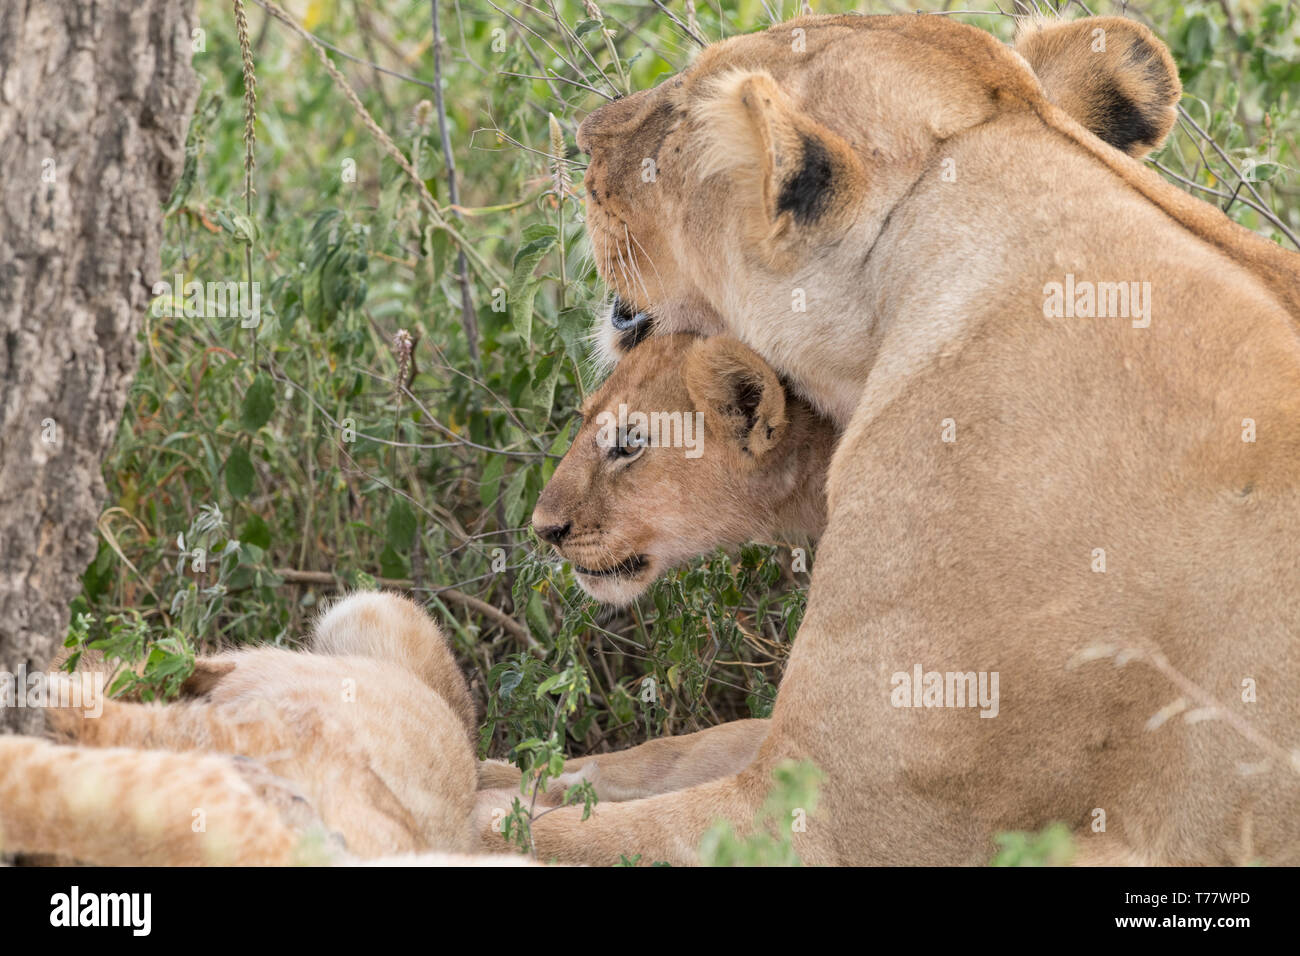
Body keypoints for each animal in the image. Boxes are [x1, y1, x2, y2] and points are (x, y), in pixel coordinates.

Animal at [477, 14, 1300, 865]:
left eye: (678, 111)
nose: (579, 135)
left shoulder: (837, 815)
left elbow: (552, 837)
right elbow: (673, 749)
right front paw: (511, 773)